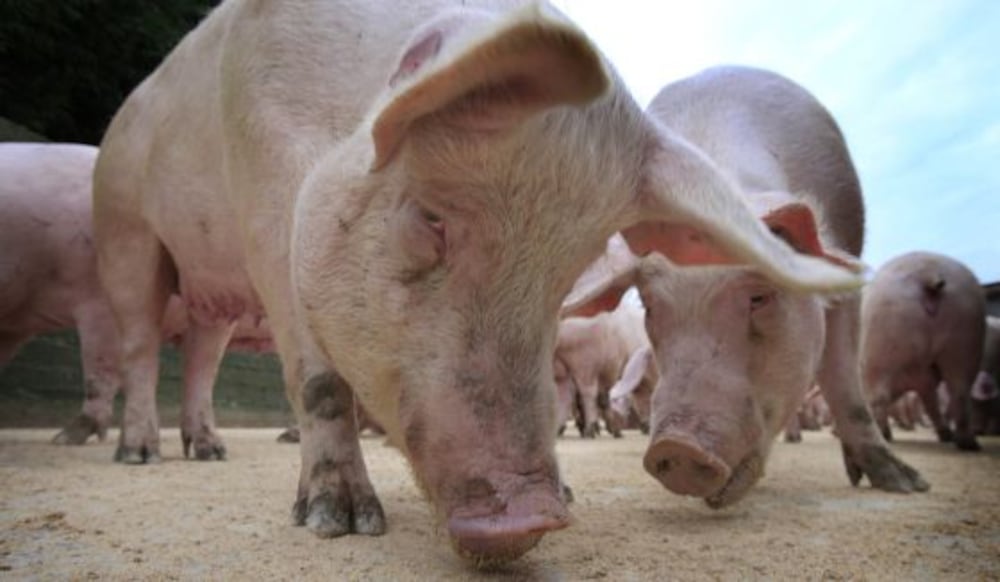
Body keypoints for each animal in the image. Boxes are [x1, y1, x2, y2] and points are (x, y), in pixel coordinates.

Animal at [93, 1, 862, 563]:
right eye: (431, 219)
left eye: (570, 266)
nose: (532, 513)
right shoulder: (266, 194)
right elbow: (318, 378)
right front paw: (340, 523)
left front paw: (573, 493)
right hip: (125, 227)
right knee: (137, 347)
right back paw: (138, 455)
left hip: (208, 300)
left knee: (198, 355)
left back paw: (208, 450)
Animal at [861, 251, 986, 450]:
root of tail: (927, 274)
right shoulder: (924, 381)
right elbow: (931, 404)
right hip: (966, 337)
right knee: (960, 391)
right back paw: (966, 443)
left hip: (882, 337)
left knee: (879, 396)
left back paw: (884, 436)